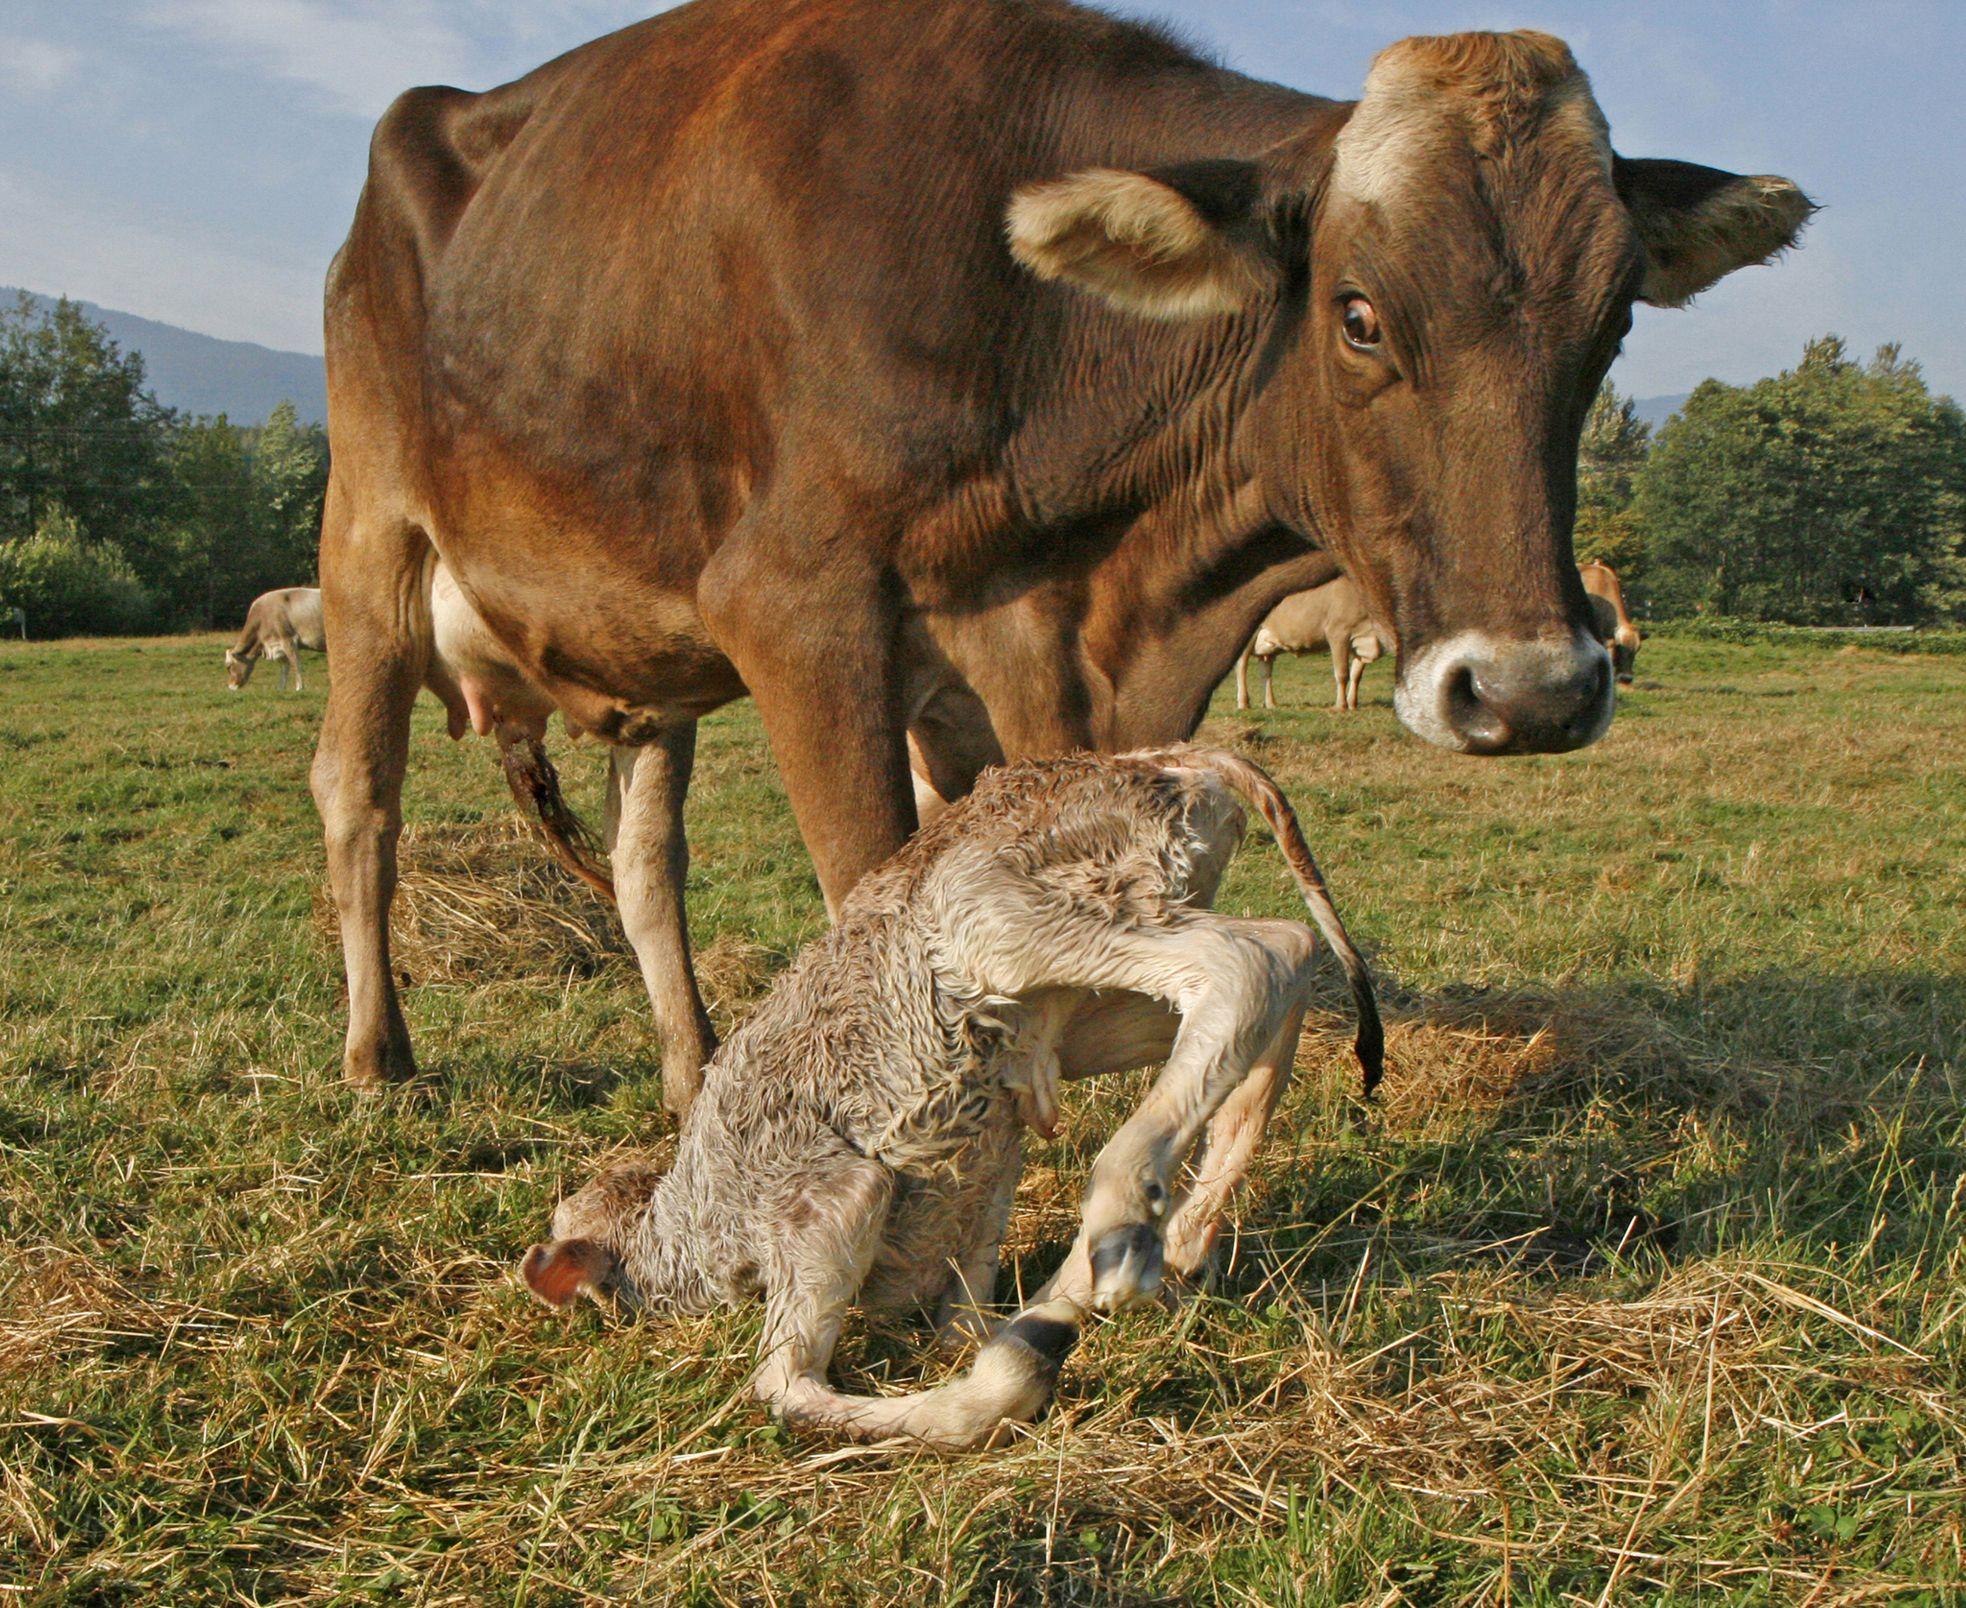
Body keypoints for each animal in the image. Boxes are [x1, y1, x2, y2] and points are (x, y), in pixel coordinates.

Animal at [522, 746, 1381, 1449]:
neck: (690, 1216)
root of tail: (1171, 758)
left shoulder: (827, 1205)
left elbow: (786, 1387)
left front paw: (1009, 1375)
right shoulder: (991, 1159)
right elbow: (965, 1302)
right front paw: (1026, 1325)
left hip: (1005, 921)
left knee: (1248, 958)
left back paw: (1123, 1206)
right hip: (1082, 997)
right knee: (1282, 962)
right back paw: (1179, 1239)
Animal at [1234, 577, 1392, 712]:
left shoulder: (1362, 642)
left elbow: (1356, 676)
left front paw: (1353, 705)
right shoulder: (1338, 633)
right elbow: (1342, 673)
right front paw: (1340, 706)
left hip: (1268, 644)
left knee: (1265, 672)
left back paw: (1271, 704)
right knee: (1242, 666)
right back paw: (1244, 703)